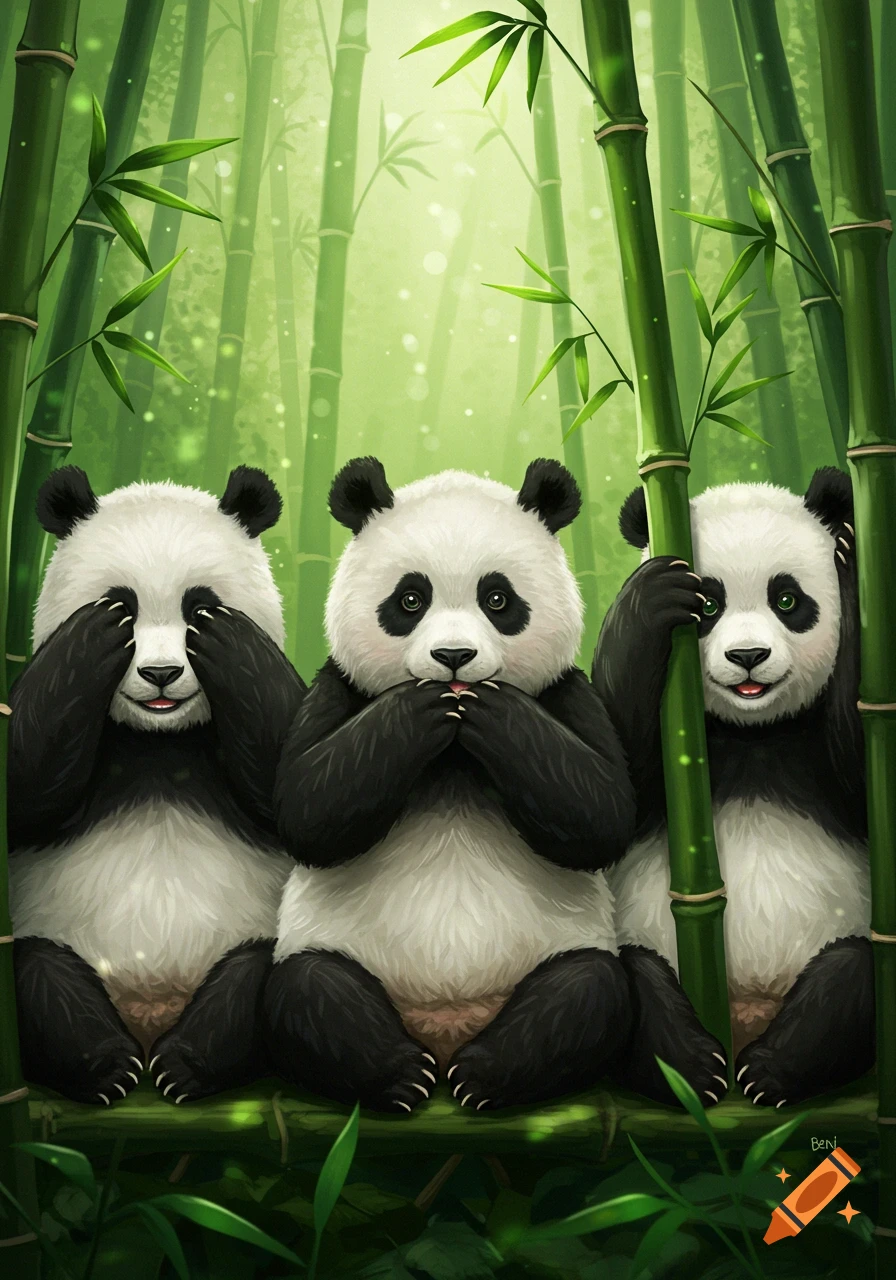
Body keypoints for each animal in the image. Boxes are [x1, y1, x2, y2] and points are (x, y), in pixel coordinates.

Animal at [9, 465, 306, 1106]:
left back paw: (186, 1065)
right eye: (125, 603)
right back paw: (105, 1066)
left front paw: (228, 642)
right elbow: (23, 785)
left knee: (257, 976)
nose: (161, 674)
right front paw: (91, 636)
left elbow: (299, 796)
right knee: (37, 973)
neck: (159, 738)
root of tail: (149, 1015)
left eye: (199, 606)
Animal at [257, 456, 646, 1113]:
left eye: (498, 598)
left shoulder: (567, 691)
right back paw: (400, 1075)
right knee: (307, 990)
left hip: (558, 954)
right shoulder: (338, 687)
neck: (455, 756)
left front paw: (494, 710)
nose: (454, 657)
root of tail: (445, 1026)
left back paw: (484, 1075)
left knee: (589, 990)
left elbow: (601, 811)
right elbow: (308, 808)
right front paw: (419, 709)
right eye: (411, 599)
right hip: (333, 950)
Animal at [592, 467, 870, 1108]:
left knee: (854, 972)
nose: (748, 657)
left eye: (787, 600)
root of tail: (742, 1019)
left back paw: (773, 1071)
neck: (751, 733)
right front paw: (653, 595)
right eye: (710, 604)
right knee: (631, 977)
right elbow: (610, 797)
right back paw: (690, 1068)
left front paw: (848, 560)